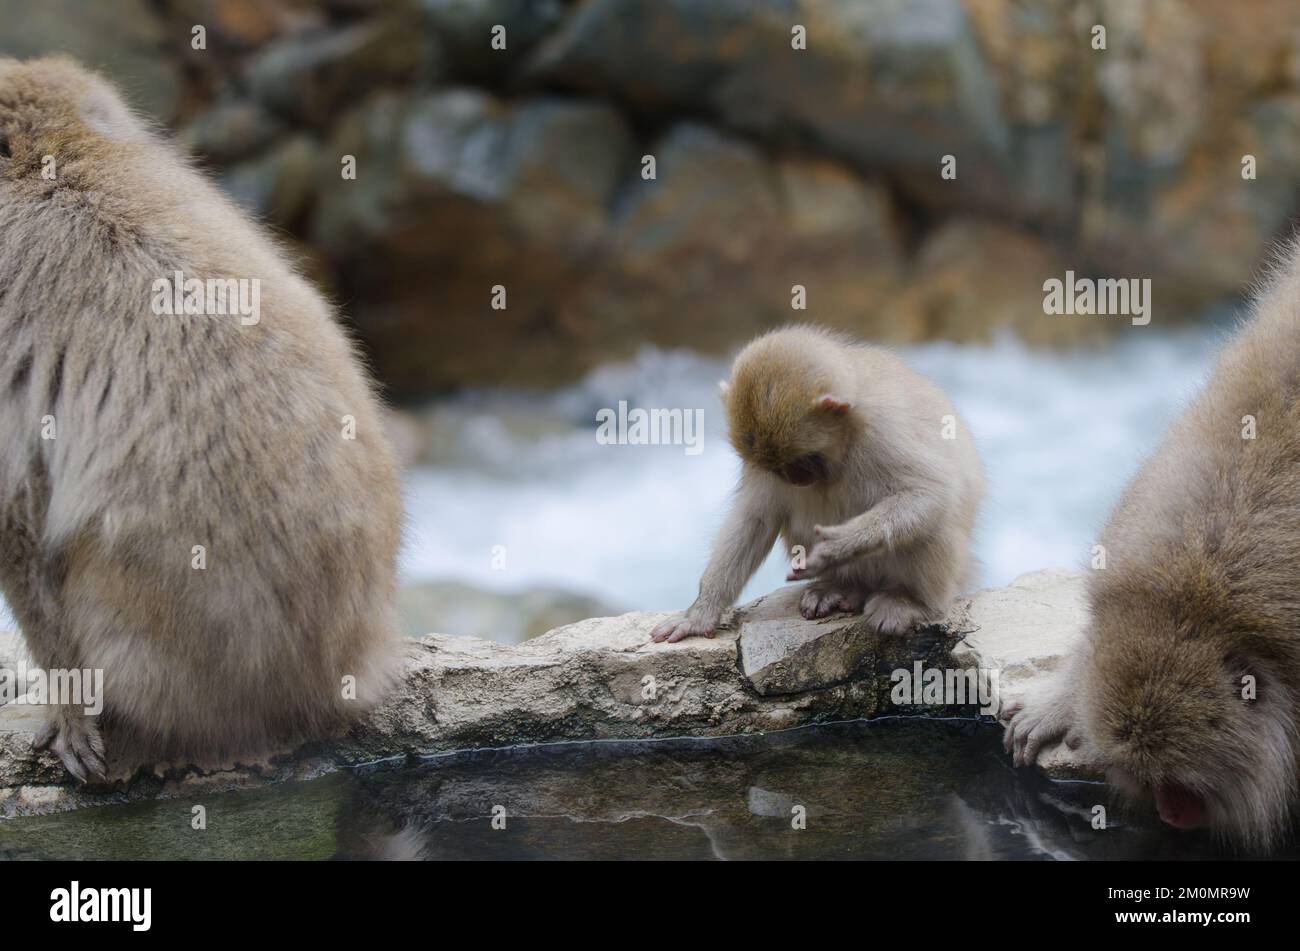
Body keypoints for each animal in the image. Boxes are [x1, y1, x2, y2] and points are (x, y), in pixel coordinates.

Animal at [649, 325, 984, 644]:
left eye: (804, 460)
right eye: (775, 468)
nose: (795, 479)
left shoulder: (883, 429)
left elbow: (930, 493)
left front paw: (836, 547)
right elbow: (754, 519)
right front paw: (700, 613)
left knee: (934, 524)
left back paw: (910, 601)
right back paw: (841, 586)